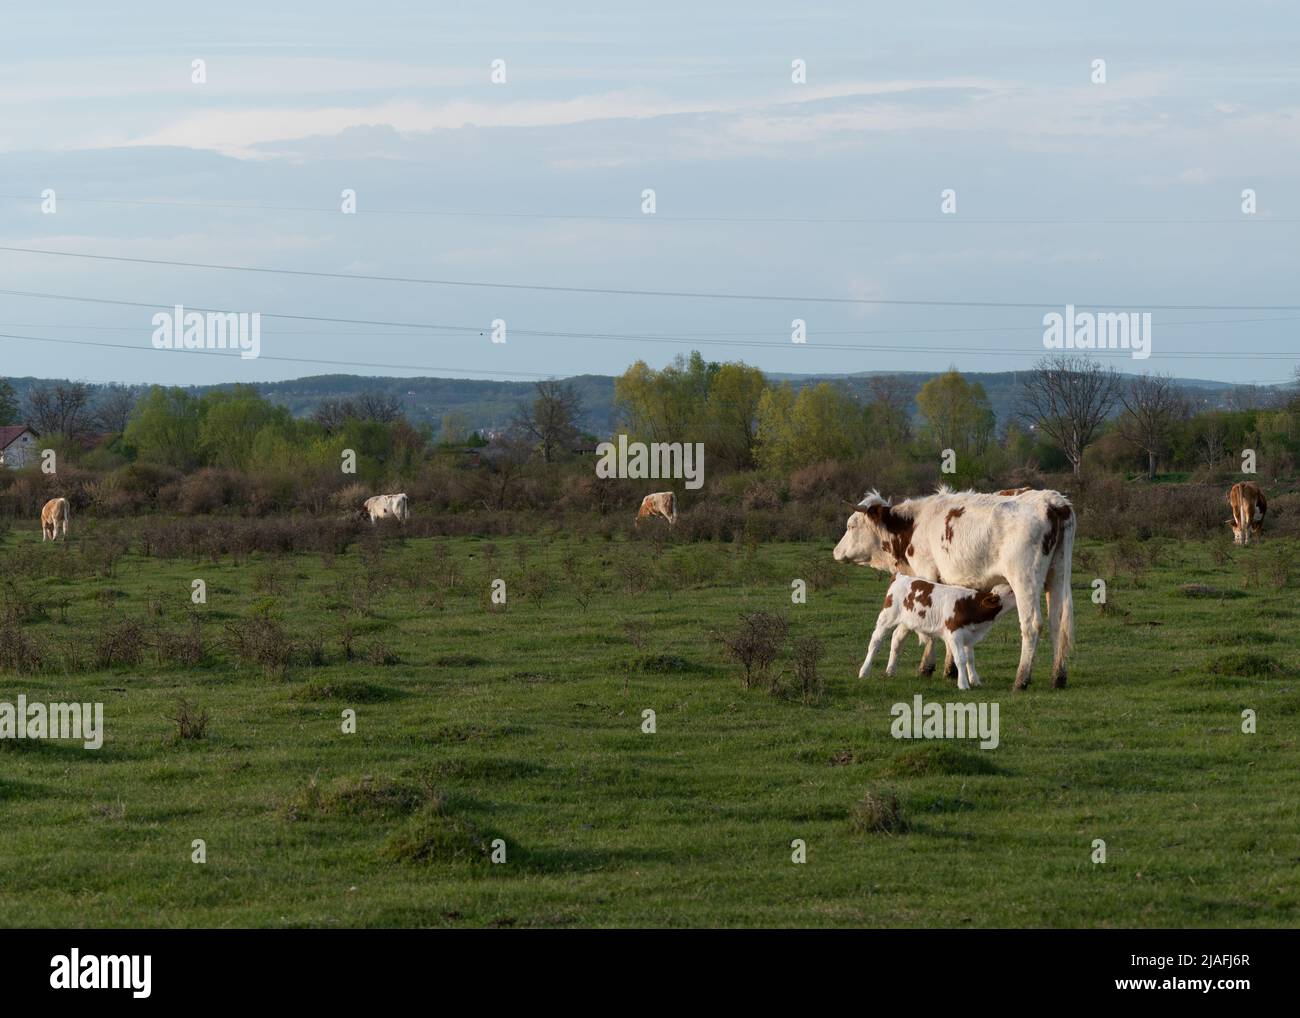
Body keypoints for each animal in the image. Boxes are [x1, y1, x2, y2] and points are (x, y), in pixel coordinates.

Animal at [859, 574, 1017, 691]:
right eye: (1010, 592)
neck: (969, 605)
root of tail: (900, 576)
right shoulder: (955, 634)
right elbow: (960, 659)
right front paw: (963, 684)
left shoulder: (969, 636)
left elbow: (970, 659)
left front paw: (975, 680)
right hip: (887, 616)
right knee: (875, 642)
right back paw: (864, 671)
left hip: (906, 622)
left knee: (897, 640)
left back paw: (890, 671)